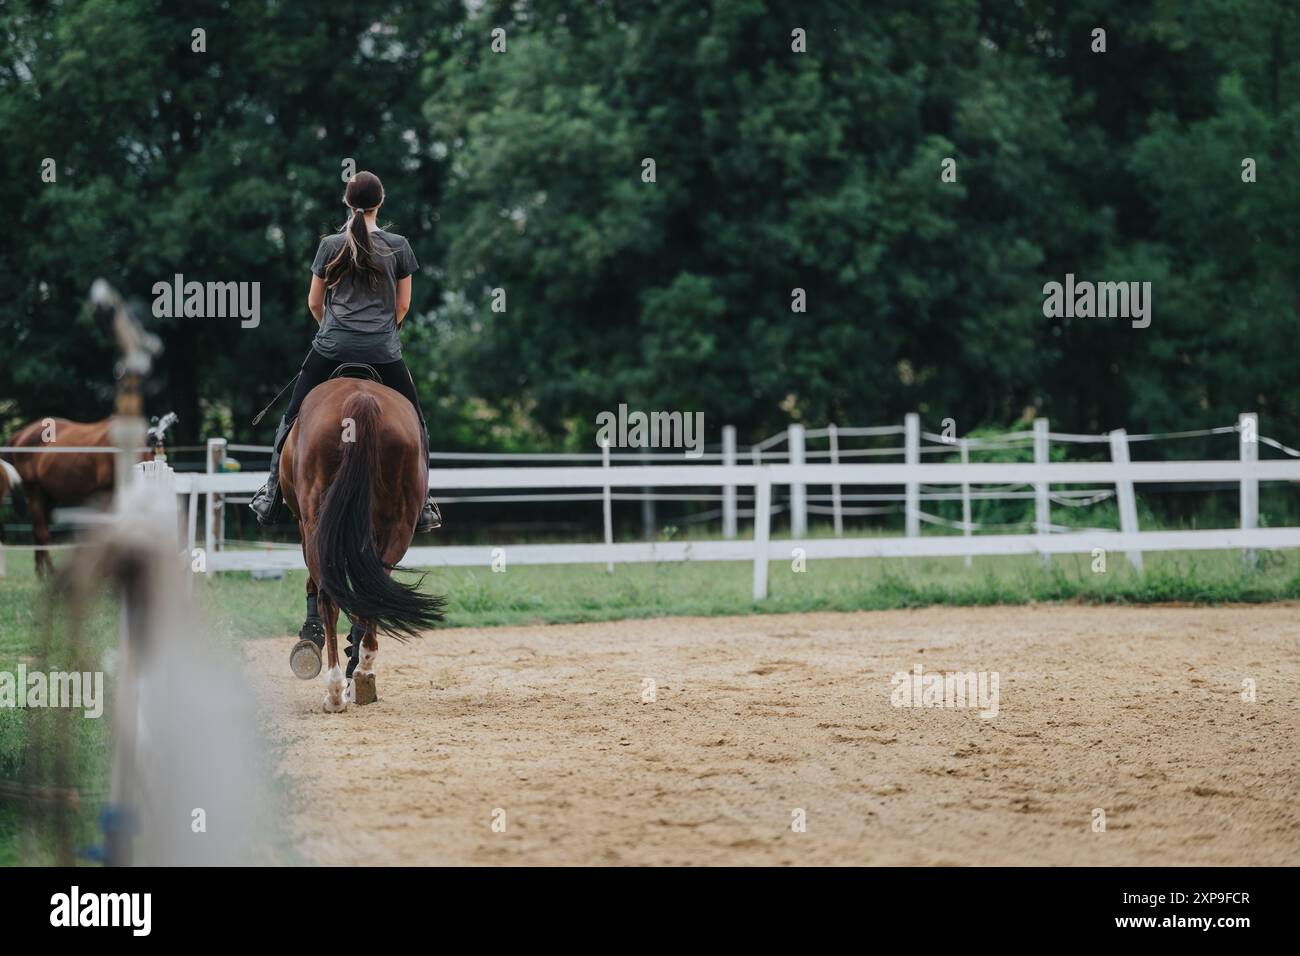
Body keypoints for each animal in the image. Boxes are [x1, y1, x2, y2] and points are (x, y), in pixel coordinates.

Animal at [1, 414, 176, 576]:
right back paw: (50, 572)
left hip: (48, 497)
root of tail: (21, 434)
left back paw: (41, 573)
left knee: (38, 532)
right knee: (42, 533)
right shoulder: (107, 493)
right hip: (35, 491)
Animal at [279, 376, 445, 712]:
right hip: (398, 526)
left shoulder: (304, 525)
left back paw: (335, 690)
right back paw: (363, 673)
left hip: (317, 522)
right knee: (371, 594)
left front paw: (310, 639)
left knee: (330, 596)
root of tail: (362, 400)